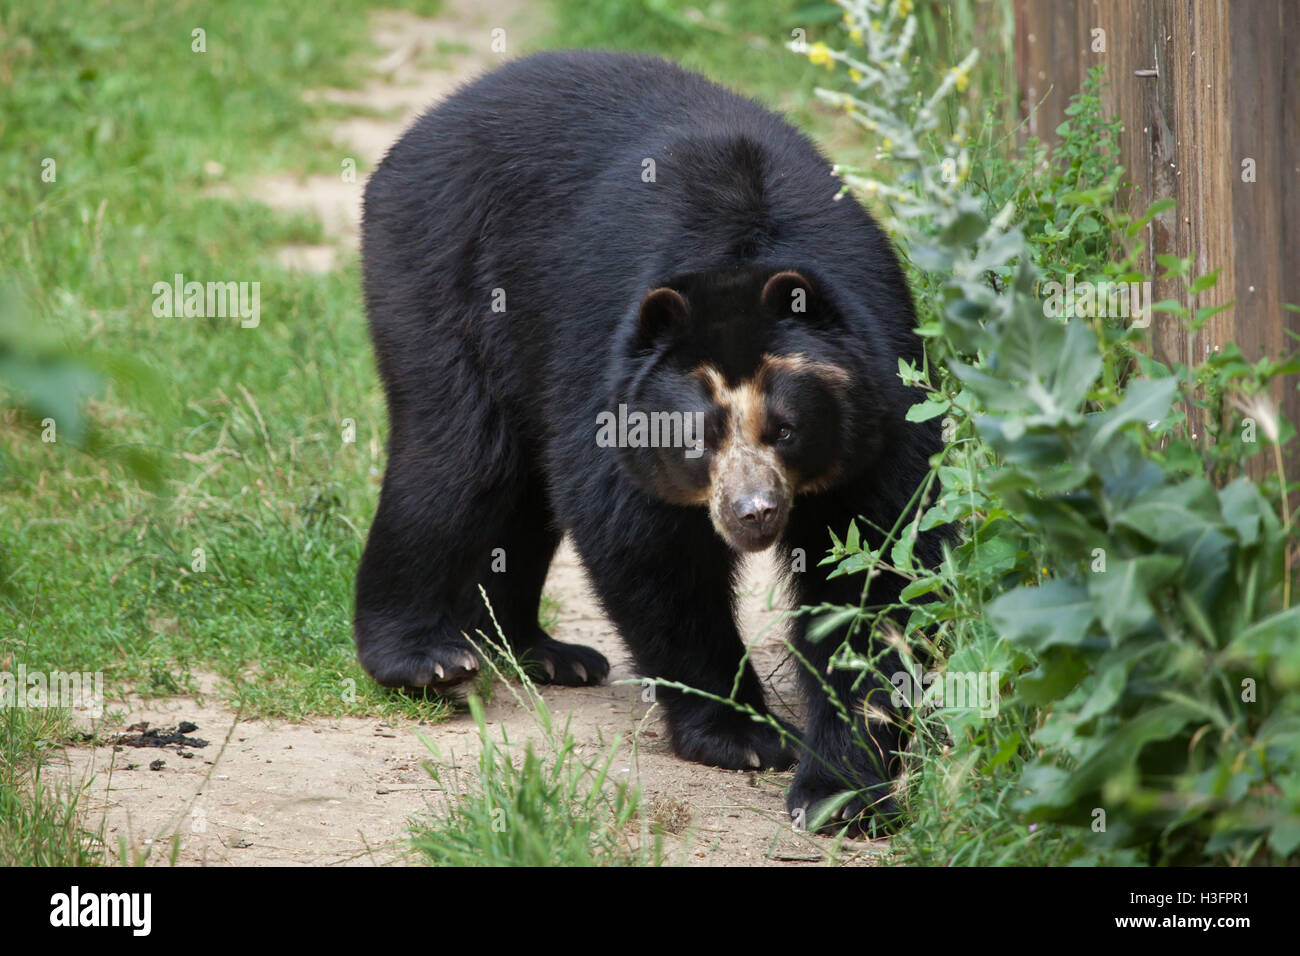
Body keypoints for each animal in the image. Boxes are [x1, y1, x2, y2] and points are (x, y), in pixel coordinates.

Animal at [355, 50, 948, 830]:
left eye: (785, 431)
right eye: (698, 436)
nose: (753, 513)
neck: (744, 248)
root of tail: (426, 124)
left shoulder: (881, 391)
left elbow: (877, 570)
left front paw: (838, 791)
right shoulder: (608, 369)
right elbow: (648, 546)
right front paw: (742, 736)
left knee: (519, 491)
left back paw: (545, 652)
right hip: (439, 274)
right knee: (457, 460)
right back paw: (428, 658)